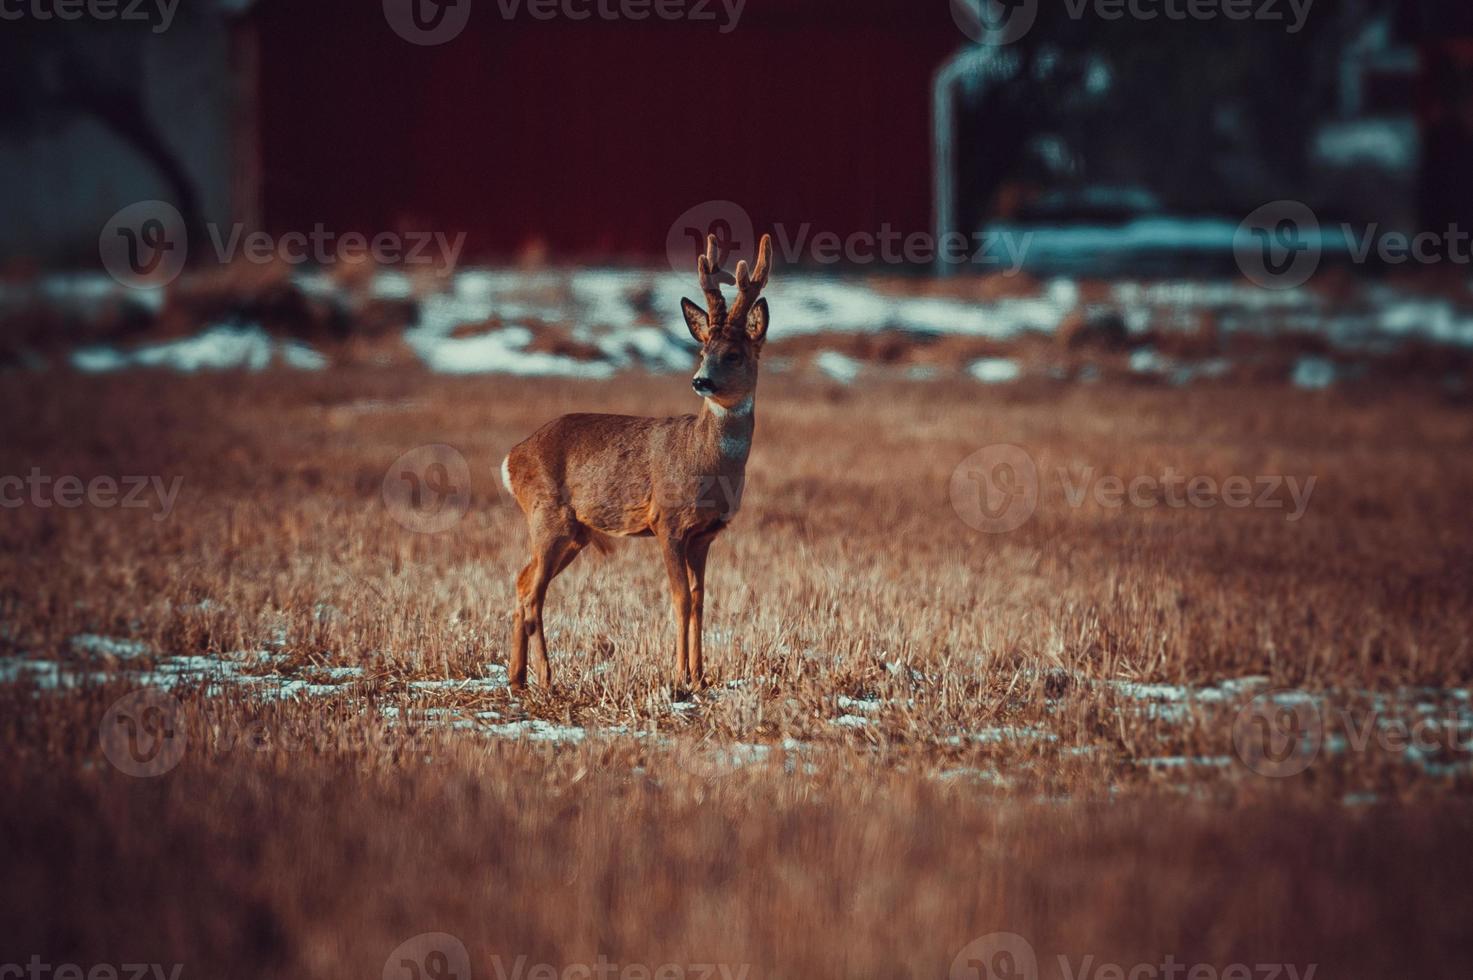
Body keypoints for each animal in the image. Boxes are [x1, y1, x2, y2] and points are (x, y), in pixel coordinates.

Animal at [500, 233, 774, 691]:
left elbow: (701, 599)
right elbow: (680, 598)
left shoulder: (706, 534)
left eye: (734, 354)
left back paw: (517, 677)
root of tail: (510, 458)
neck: (707, 462)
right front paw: (680, 676)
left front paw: (701, 676)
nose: (701, 380)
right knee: (533, 591)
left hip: (574, 532)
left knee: (522, 581)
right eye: (702, 350)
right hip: (547, 516)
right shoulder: (668, 521)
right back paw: (547, 675)